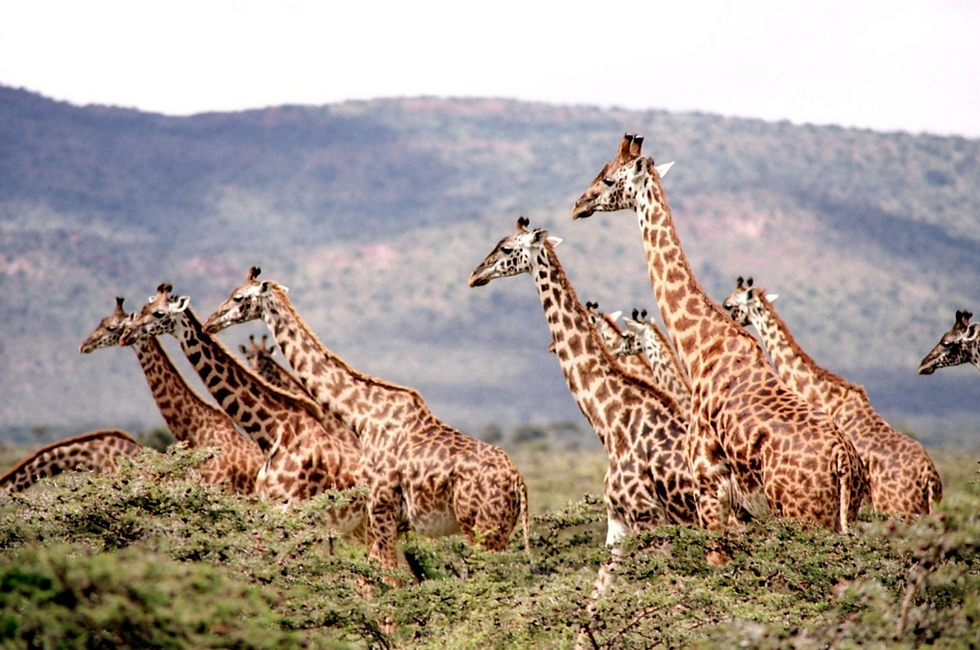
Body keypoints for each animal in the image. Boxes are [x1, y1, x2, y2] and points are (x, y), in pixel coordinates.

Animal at [203, 267, 530, 576]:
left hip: (481, 527)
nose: (209, 323)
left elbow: (387, 576)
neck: (363, 416)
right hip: (498, 529)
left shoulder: (381, 508)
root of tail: (518, 482)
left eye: (239, 297)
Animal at [469, 217, 697, 619]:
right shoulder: (618, 523)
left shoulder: (649, 520)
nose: (475, 275)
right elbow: (593, 603)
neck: (611, 421)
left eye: (507, 249)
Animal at [571, 134, 867, 555]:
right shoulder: (739, 509)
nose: (578, 206)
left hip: (805, 518)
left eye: (610, 179)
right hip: (843, 520)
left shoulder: (708, 484)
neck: (701, 347)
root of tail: (845, 463)